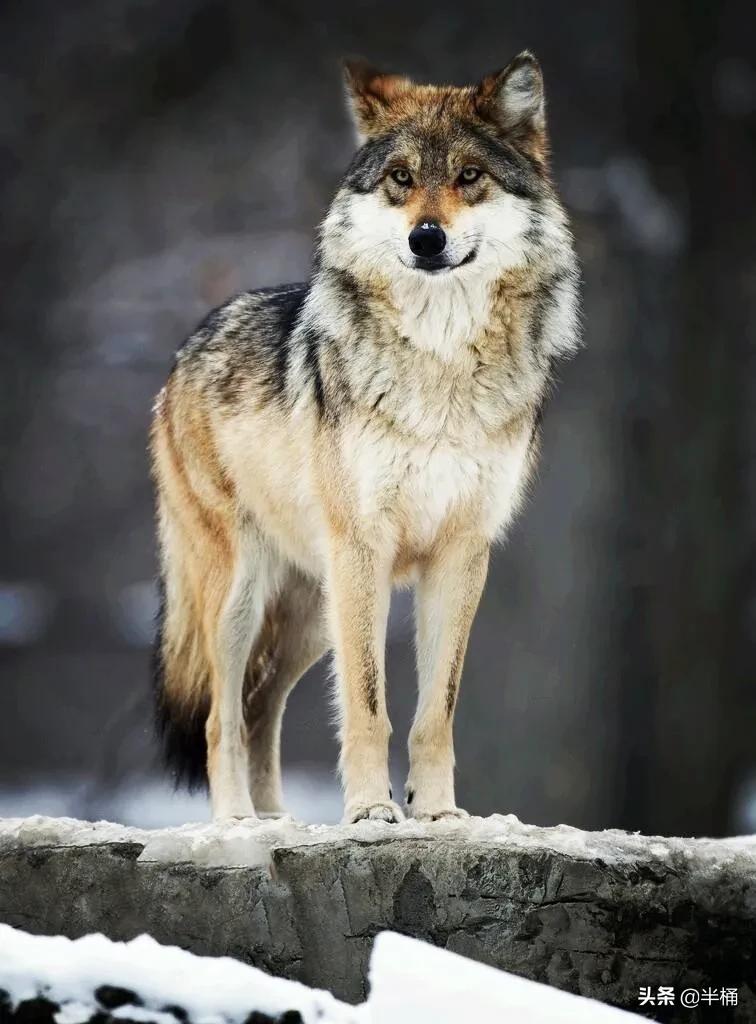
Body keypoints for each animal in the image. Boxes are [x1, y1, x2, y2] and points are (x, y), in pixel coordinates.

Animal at [150, 52, 580, 824]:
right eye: (400, 178)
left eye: (470, 175)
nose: (426, 238)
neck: (439, 363)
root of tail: (184, 350)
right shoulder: (364, 548)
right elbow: (368, 704)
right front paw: (370, 813)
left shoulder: (461, 553)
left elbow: (436, 710)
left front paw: (435, 814)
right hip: (244, 597)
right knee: (220, 717)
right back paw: (237, 825)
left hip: (311, 612)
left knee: (259, 709)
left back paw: (280, 822)